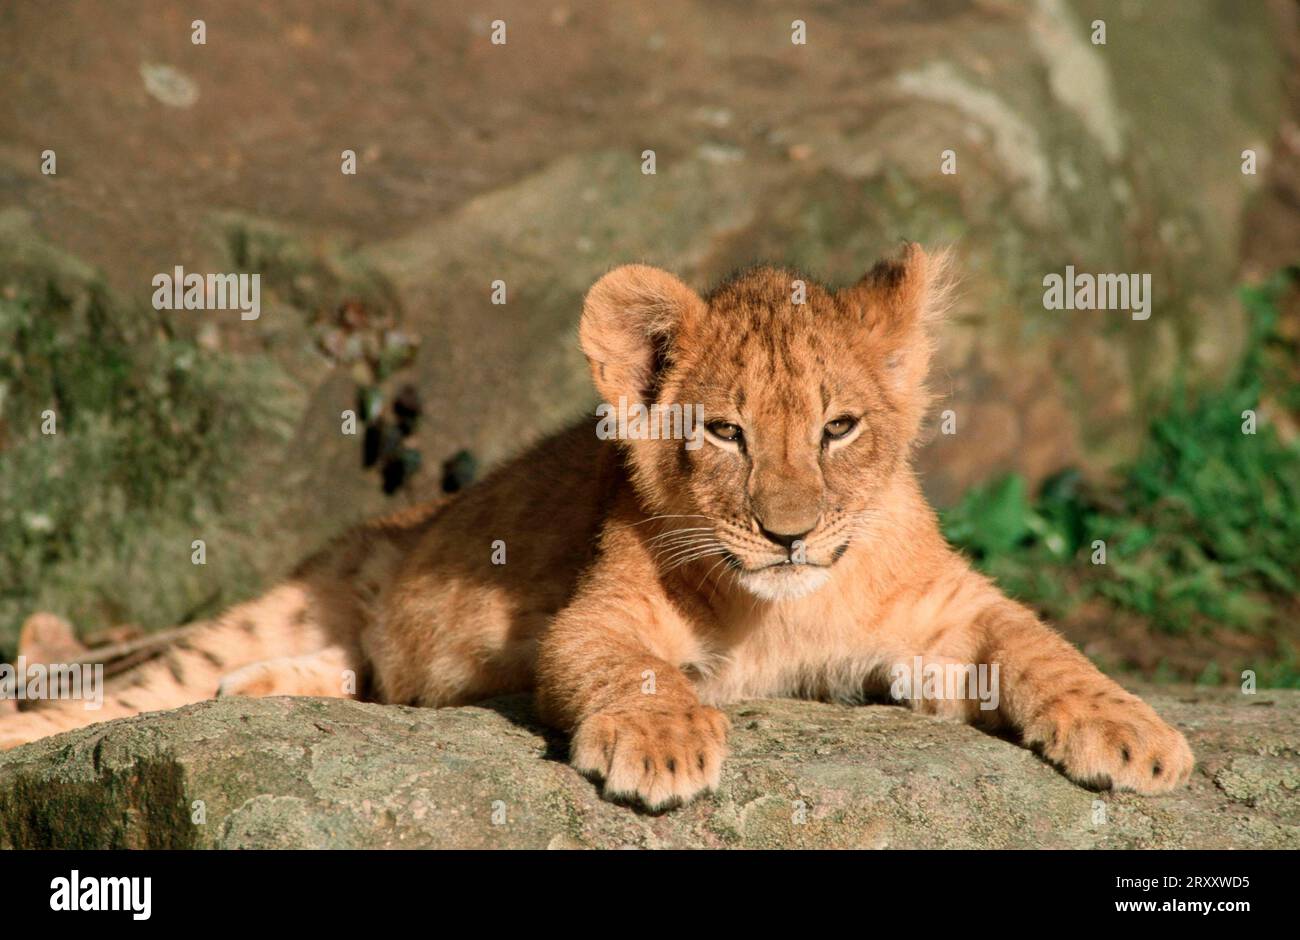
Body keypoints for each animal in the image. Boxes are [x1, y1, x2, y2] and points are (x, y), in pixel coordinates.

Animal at [1, 245, 1194, 810]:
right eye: (724, 432)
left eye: (840, 426)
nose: (790, 536)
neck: (791, 609)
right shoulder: (596, 613)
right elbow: (636, 669)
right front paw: (665, 745)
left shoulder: (949, 617)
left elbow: (1043, 644)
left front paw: (1136, 735)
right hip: (264, 609)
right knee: (102, 701)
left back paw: (277, 691)